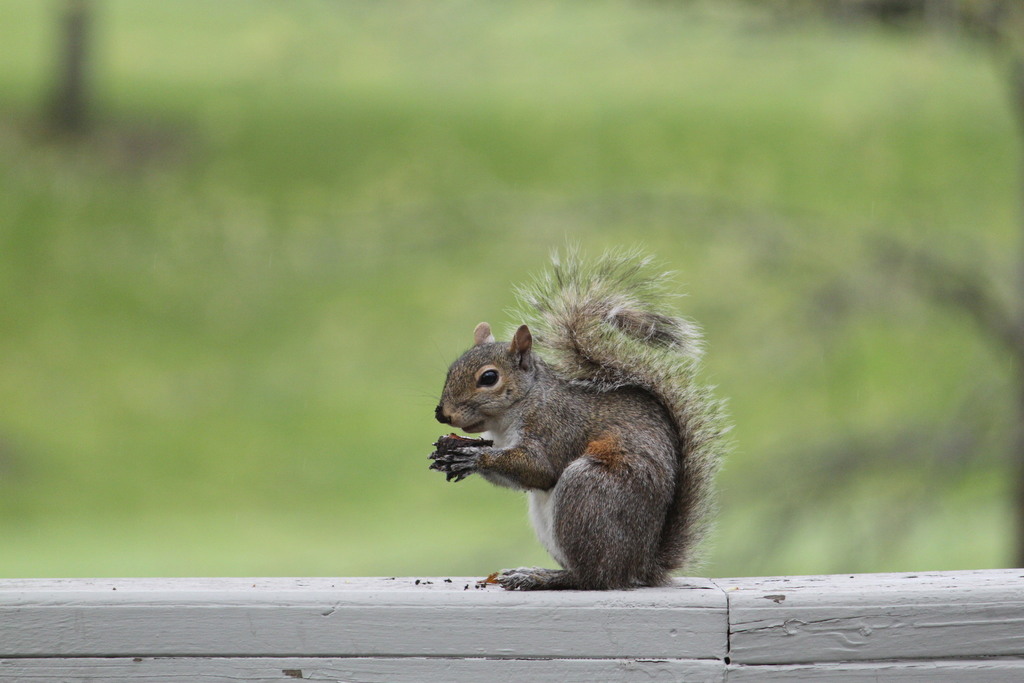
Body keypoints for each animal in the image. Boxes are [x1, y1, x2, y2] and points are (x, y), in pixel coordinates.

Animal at [430, 250, 727, 590]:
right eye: (452, 369)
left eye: (489, 378)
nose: (442, 413)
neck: (516, 410)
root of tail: (640, 567)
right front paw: (455, 456)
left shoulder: (555, 426)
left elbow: (539, 469)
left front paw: (472, 456)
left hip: (587, 494)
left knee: (592, 577)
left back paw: (540, 577)